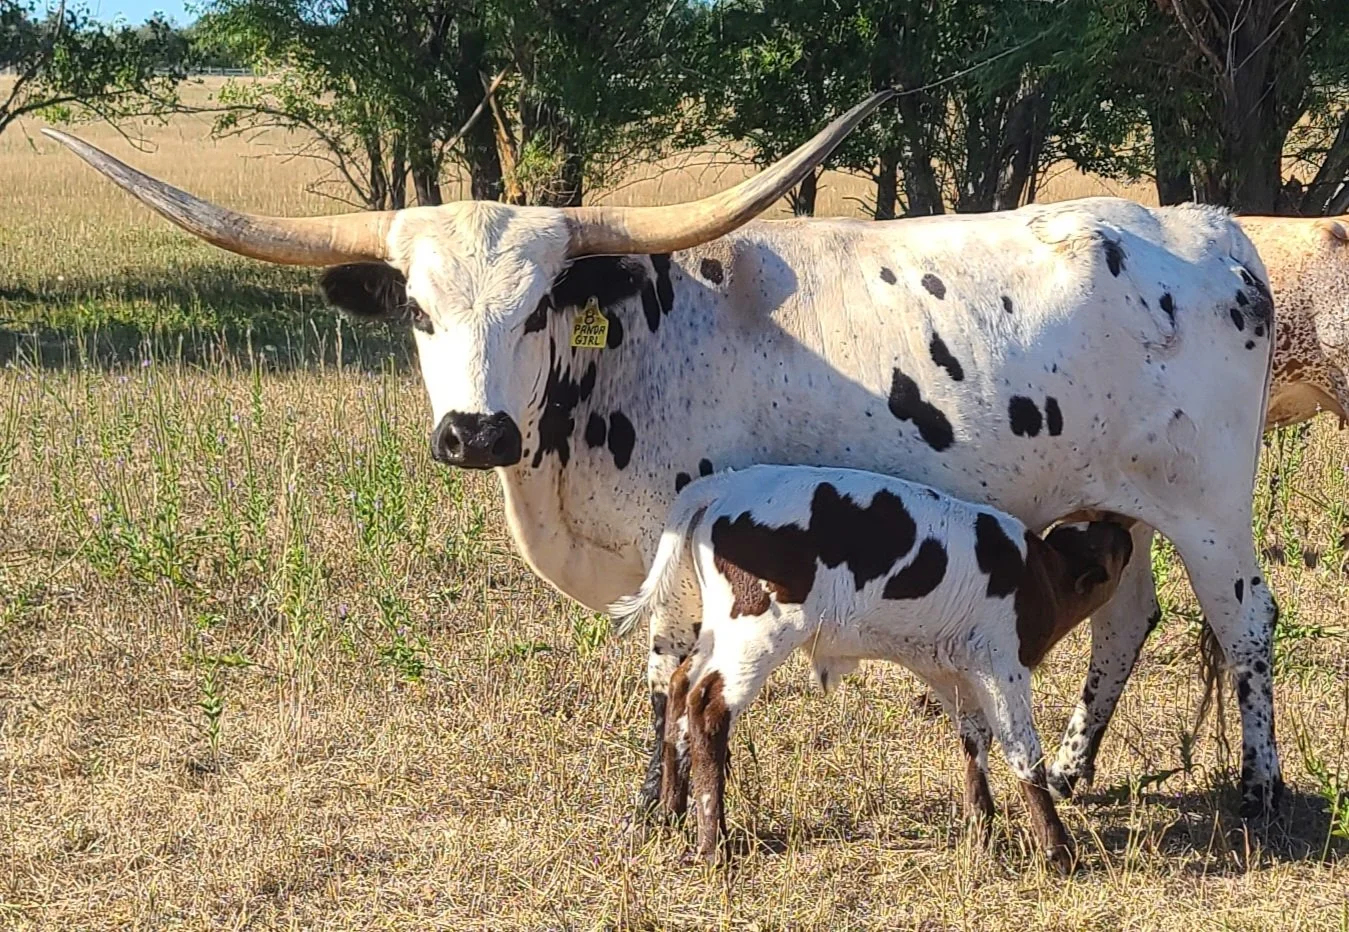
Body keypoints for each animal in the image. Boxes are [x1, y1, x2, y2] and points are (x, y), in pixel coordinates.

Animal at [43, 90, 1285, 825]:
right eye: (416, 311)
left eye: (540, 304)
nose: (474, 431)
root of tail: (1210, 230)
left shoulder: (677, 551)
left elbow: (666, 675)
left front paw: (660, 804)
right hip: (1111, 497)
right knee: (1124, 619)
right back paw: (1072, 770)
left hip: (1211, 502)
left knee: (1243, 621)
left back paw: (1261, 786)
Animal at [608, 464, 1136, 872]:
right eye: (1109, 549)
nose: (1120, 526)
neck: (1039, 572)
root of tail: (725, 486)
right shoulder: (1002, 665)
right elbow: (1023, 751)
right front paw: (1058, 851)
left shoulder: (955, 674)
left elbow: (975, 743)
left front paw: (979, 831)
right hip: (755, 635)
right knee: (708, 707)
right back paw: (712, 844)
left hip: (719, 633)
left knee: (680, 687)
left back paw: (673, 813)